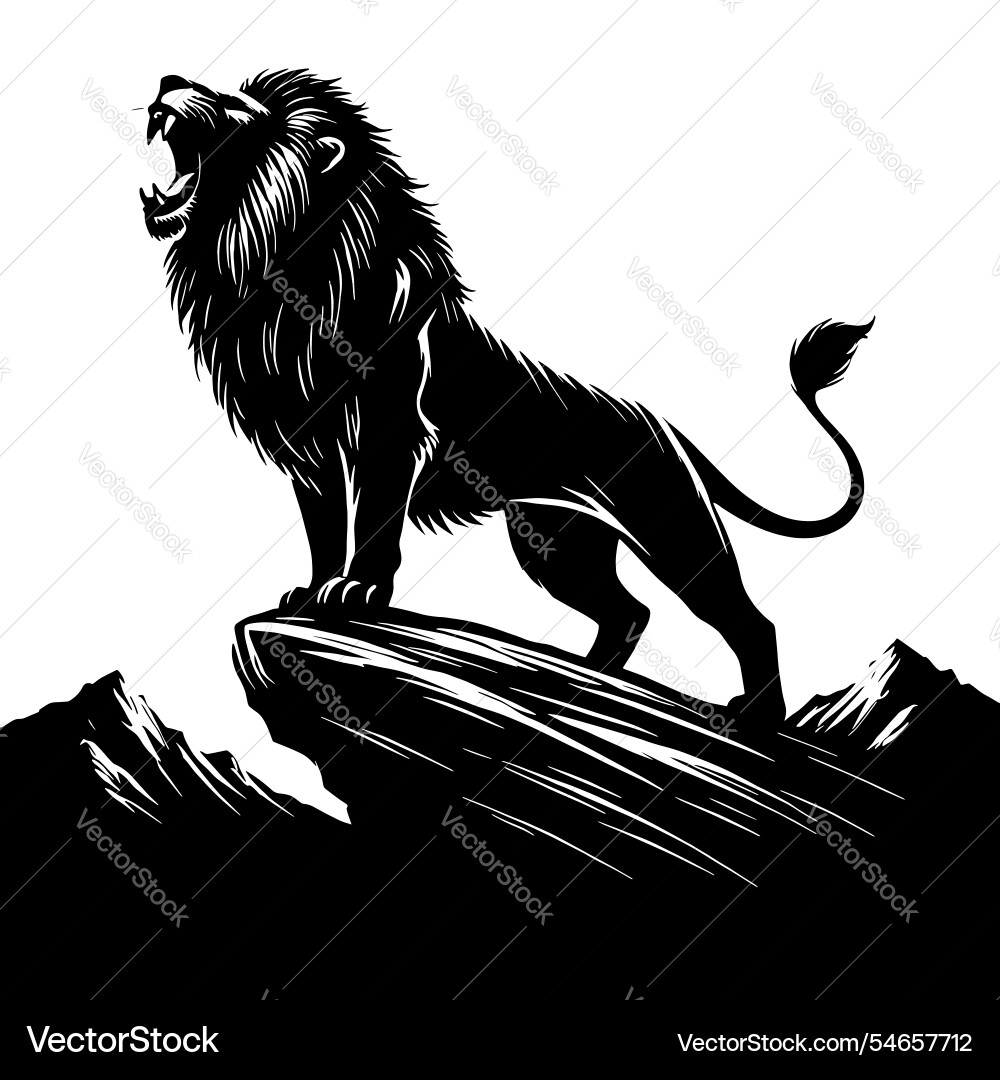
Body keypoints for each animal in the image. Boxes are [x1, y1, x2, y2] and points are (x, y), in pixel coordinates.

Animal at [140, 69, 874, 721]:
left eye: (239, 107)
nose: (165, 82)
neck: (274, 278)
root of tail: (667, 430)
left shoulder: (389, 432)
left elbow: (372, 519)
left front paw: (356, 591)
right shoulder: (310, 450)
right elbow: (324, 529)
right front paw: (311, 591)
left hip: (675, 531)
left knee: (748, 622)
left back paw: (759, 716)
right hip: (558, 545)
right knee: (629, 612)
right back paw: (586, 677)